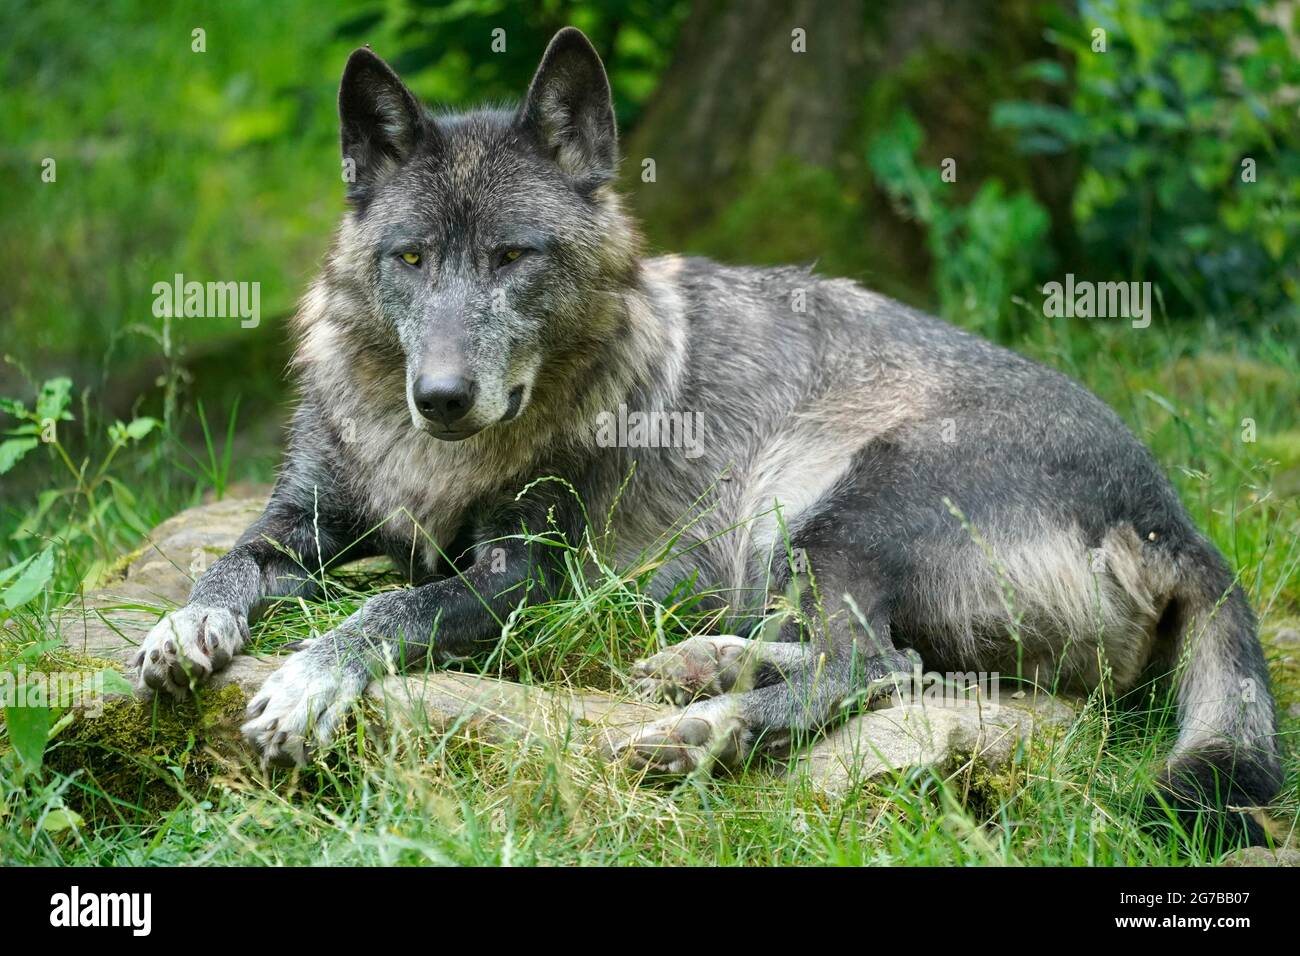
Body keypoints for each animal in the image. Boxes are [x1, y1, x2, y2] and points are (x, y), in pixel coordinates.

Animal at [134, 28, 1280, 844]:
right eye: (411, 257)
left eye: (513, 256)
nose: (444, 396)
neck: (435, 459)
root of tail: (1173, 518)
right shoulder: (303, 518)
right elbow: (229, 561)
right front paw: (185, 629)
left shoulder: (526, 579)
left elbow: (389, 605)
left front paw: (305, 681)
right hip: (791, 540)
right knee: (884, 657)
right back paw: (697, 666)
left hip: (833, 490)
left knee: (869, 665)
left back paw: (696, 732)